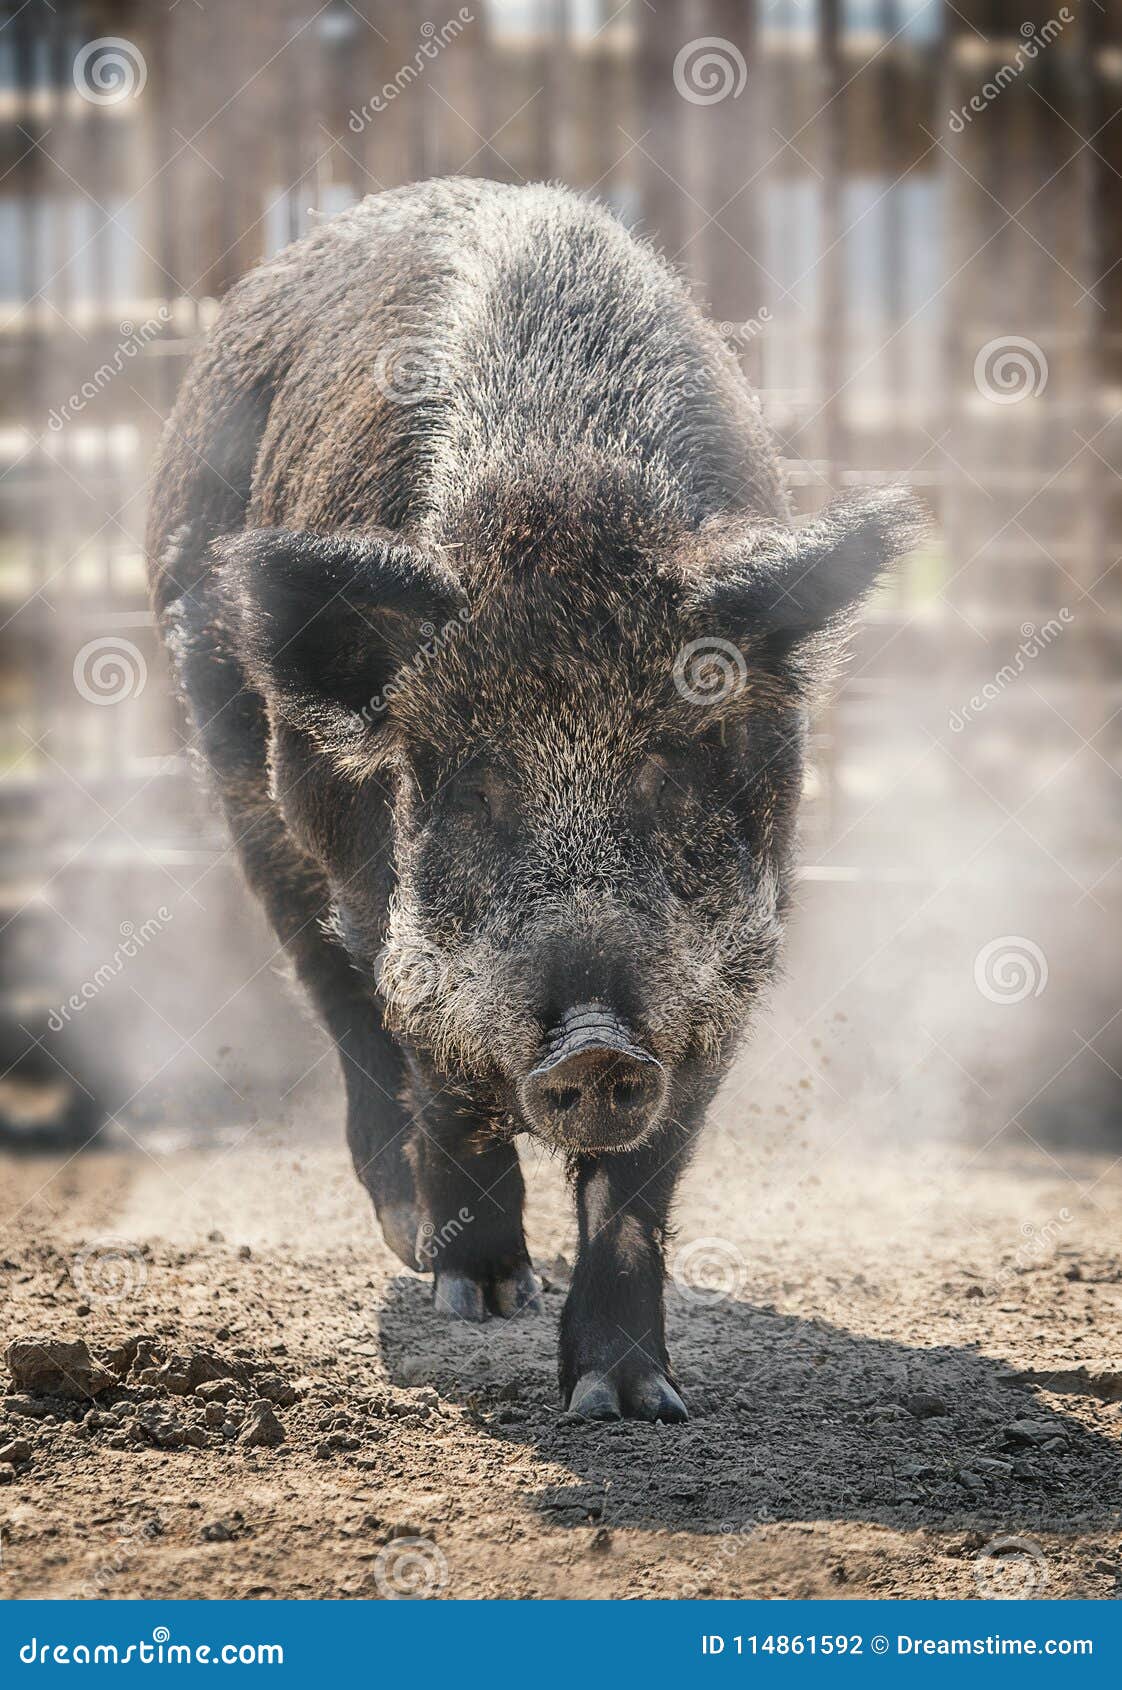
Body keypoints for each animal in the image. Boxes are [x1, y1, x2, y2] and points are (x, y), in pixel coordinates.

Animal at [147, 178, 925, 1420]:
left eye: (672, 760)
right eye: (479, 783)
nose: (595, 1043)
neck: (562, 495)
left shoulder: (734, 945)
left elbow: (644, 1180)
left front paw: (631, 1399)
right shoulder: (390, 908)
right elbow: (428, 1061)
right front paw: (483, 1293)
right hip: (244, 782)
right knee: (331, 994)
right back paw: (414, 1241)